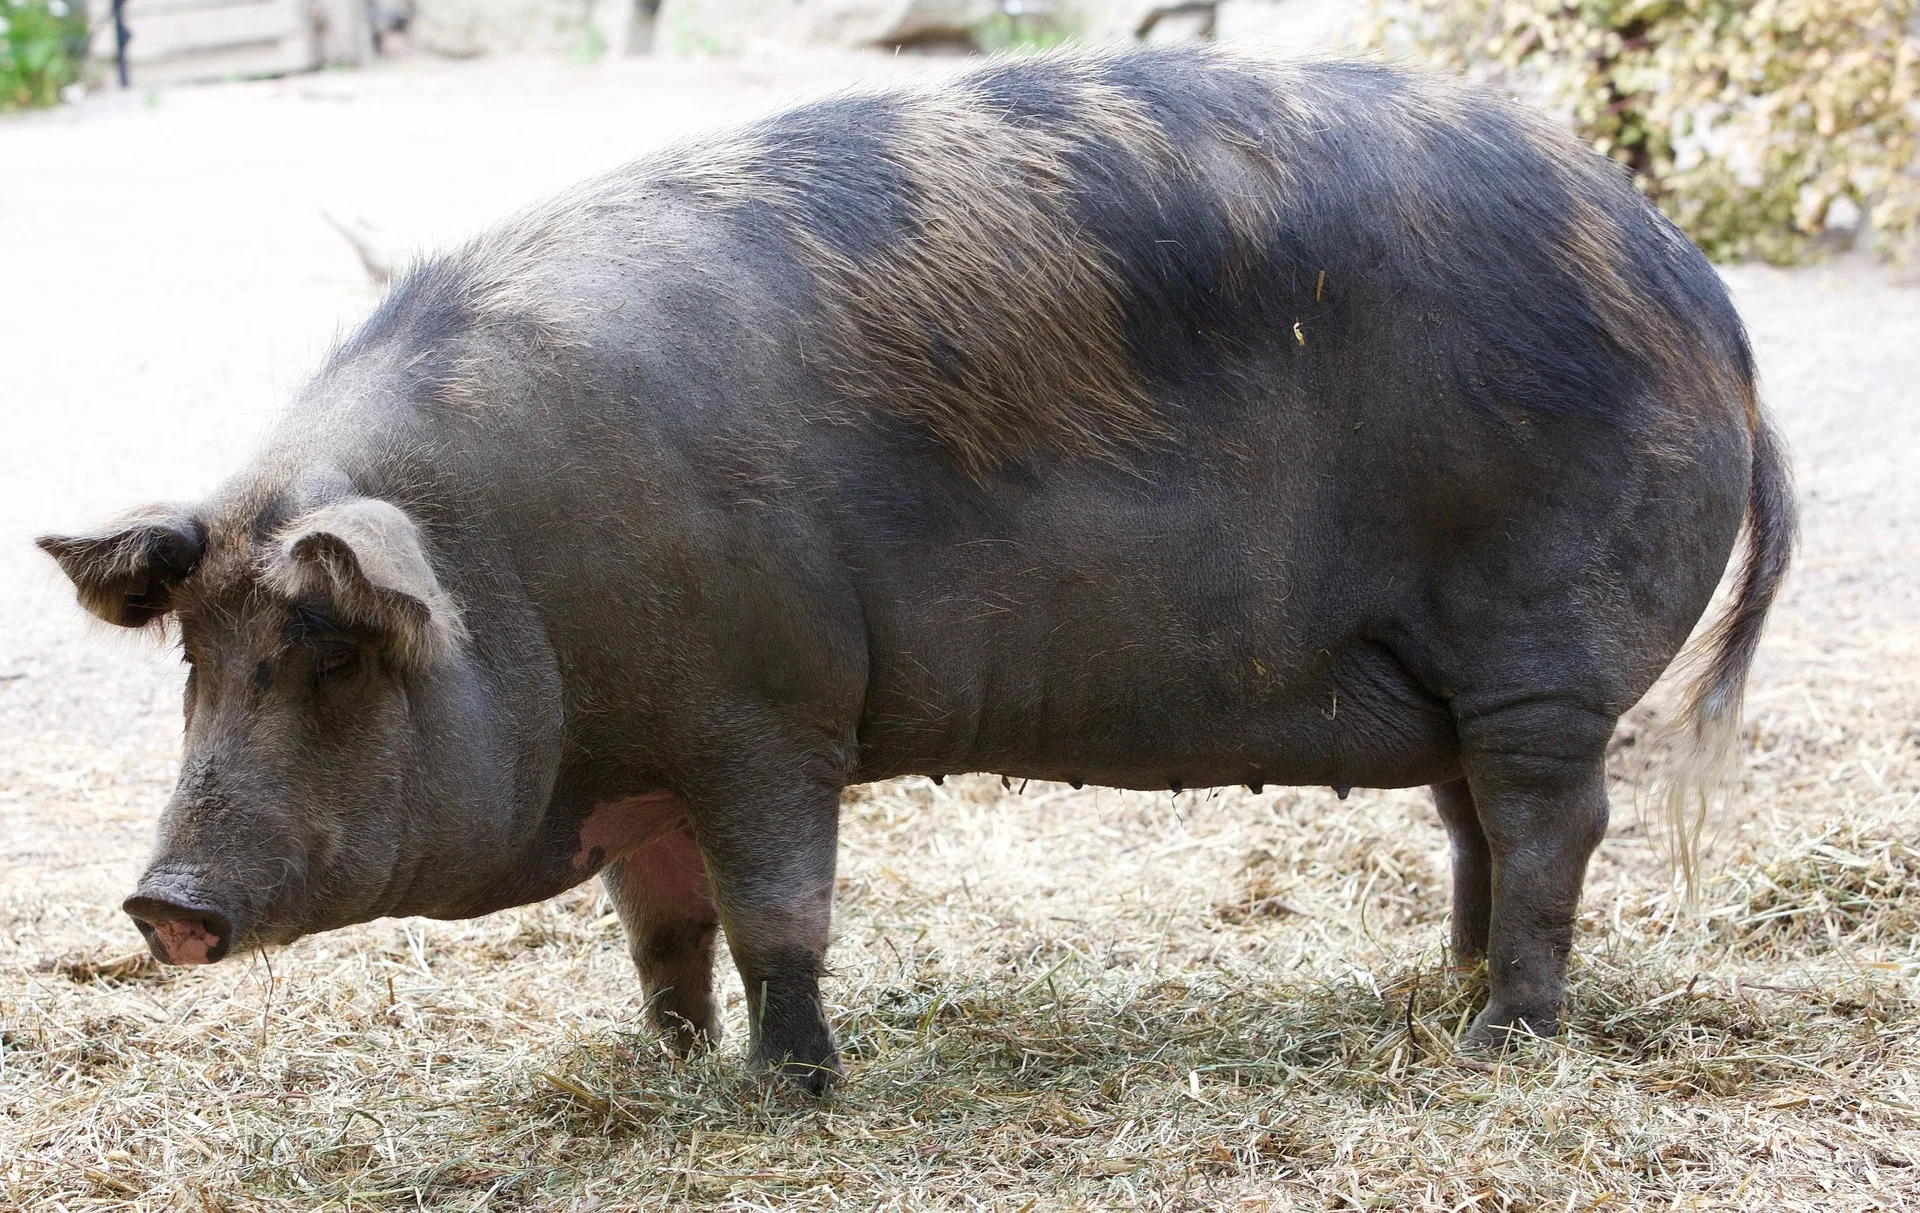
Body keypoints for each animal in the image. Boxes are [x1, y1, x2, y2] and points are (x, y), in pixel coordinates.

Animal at [38, 45, 1792, 1091]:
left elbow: (777, 914)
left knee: (1556, 821)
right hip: (1460, 677)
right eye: (196, 655)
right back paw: (1446, 988)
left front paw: (792, 1092)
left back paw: (1503, 1039)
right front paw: (667, 1069)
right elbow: (660, 932)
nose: (158, 902)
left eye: (328, 650)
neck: (516, 566)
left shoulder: (768, 712)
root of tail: (1708, 306)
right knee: (1476, 826)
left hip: (1542, 643)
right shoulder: (646, 759)